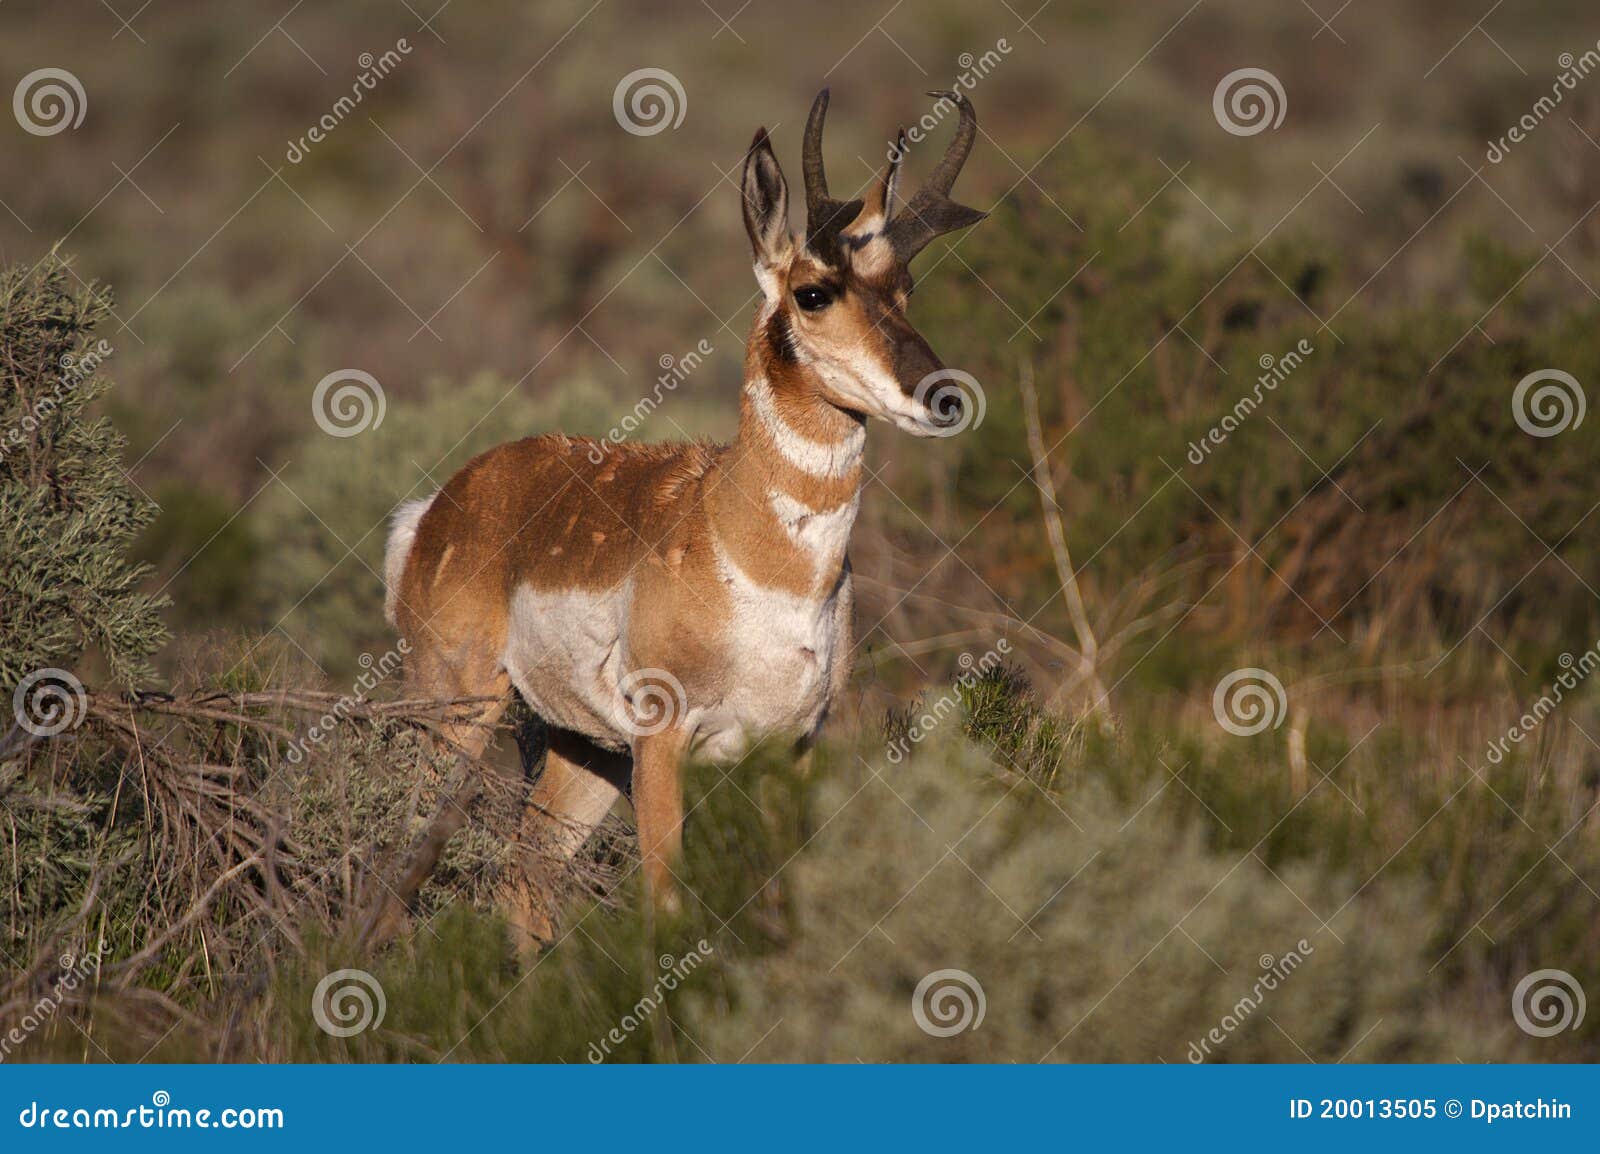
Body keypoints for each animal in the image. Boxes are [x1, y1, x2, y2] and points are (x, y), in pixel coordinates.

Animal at [384, 89, 986, 942]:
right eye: (814, 291)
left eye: (905, 285)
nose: (944, 396)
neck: (752, 553)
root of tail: (445, 502)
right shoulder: (664, 742)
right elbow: (665, 904)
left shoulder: (794, 746)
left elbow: (783, 894)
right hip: (457, 710)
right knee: (398, 852)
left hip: (584, 749)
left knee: (524, 878)